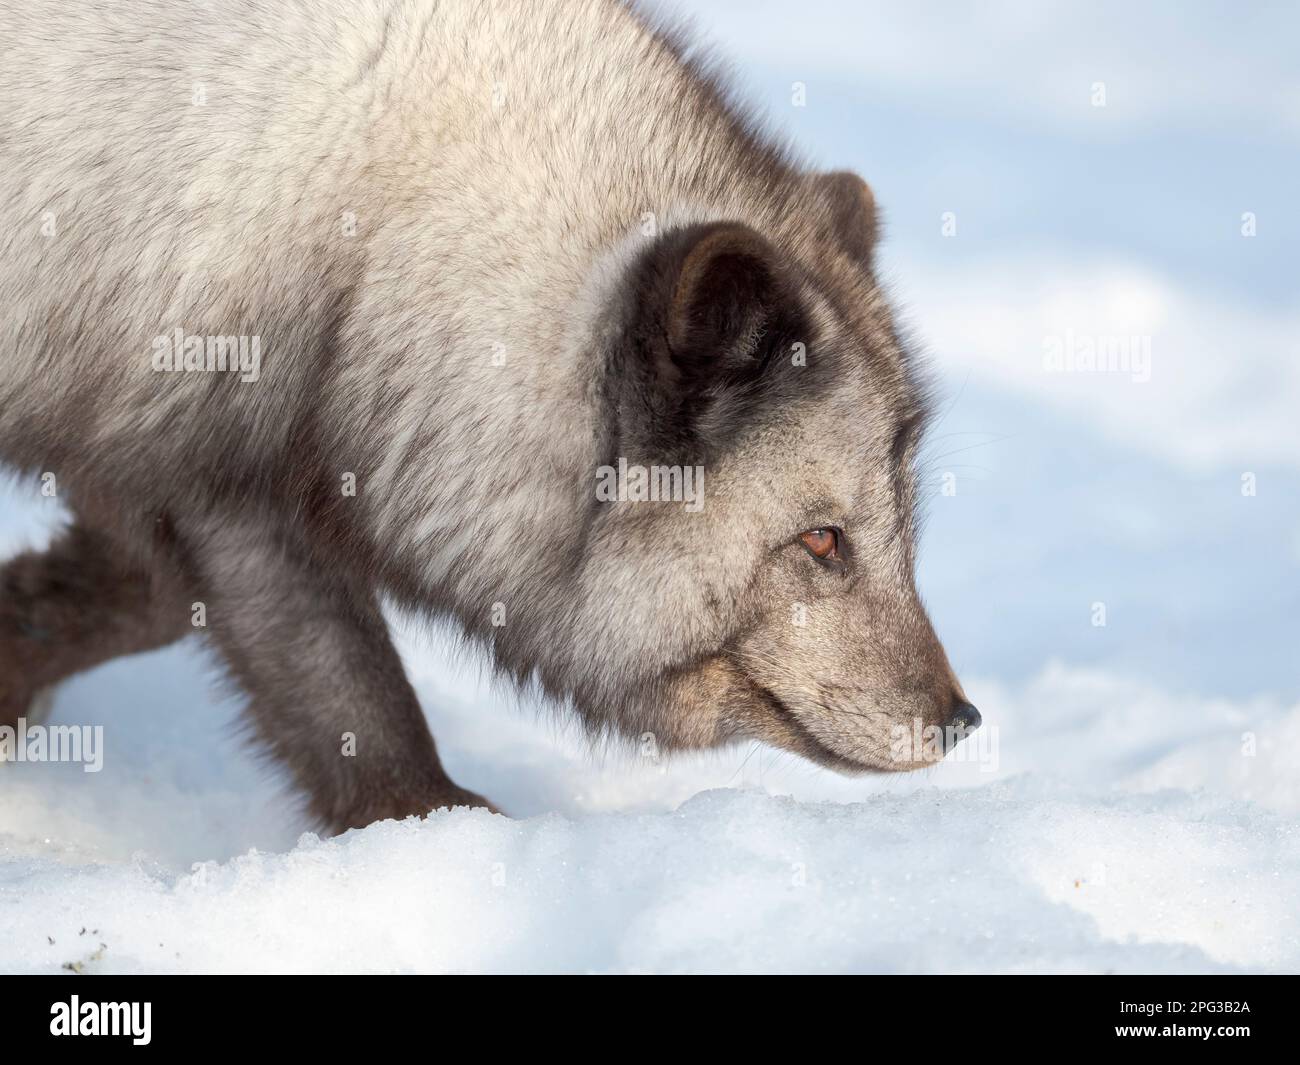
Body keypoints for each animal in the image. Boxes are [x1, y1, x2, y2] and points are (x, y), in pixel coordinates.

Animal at [0, 0, 979, 832]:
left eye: (904, 529)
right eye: (821, 540)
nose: (961, 721)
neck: (367, 229)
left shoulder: (181, 454)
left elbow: (153, 597)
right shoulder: (217, 471)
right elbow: (355, 704)